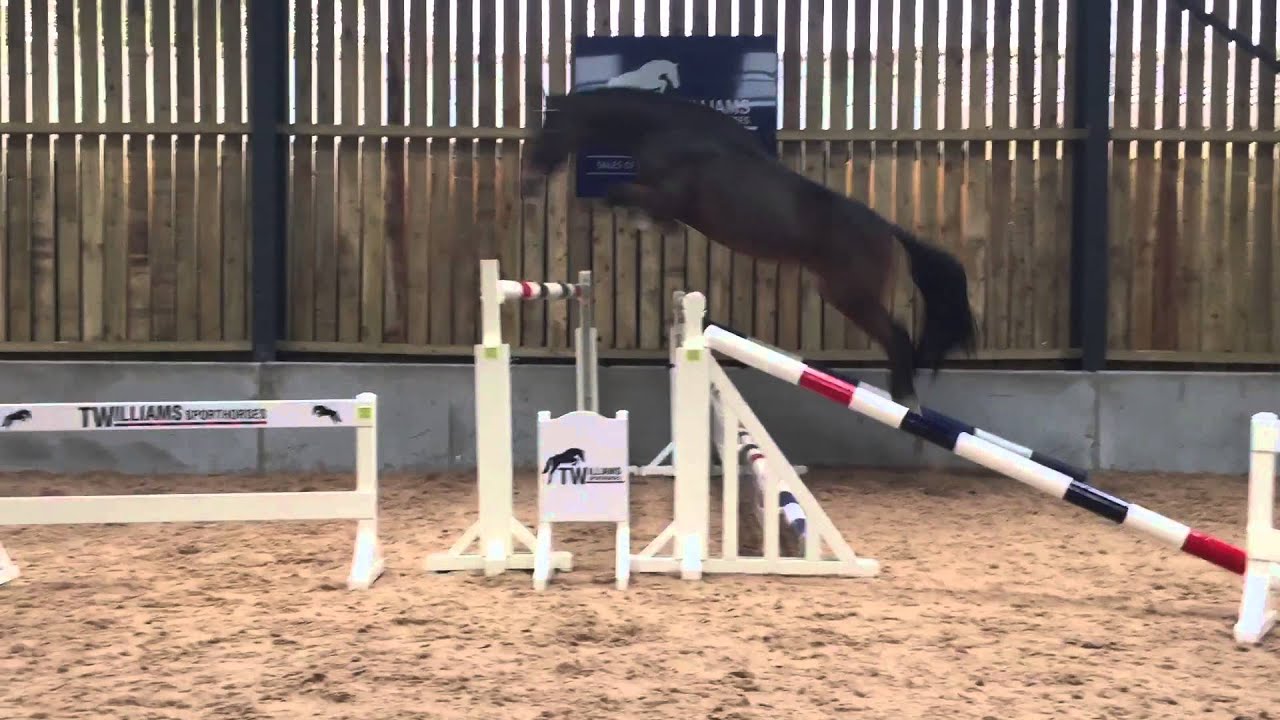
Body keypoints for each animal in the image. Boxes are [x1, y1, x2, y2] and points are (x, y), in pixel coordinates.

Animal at [520, 87, 977, 404]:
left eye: (549, 126)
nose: (528, 182)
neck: (670, 132)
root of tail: (887, 230)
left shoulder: (665, 196)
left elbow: (619, 195)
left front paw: (649, 223)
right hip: (843, 293)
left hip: (850, 295)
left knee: (897, 338)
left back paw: (908, 402)